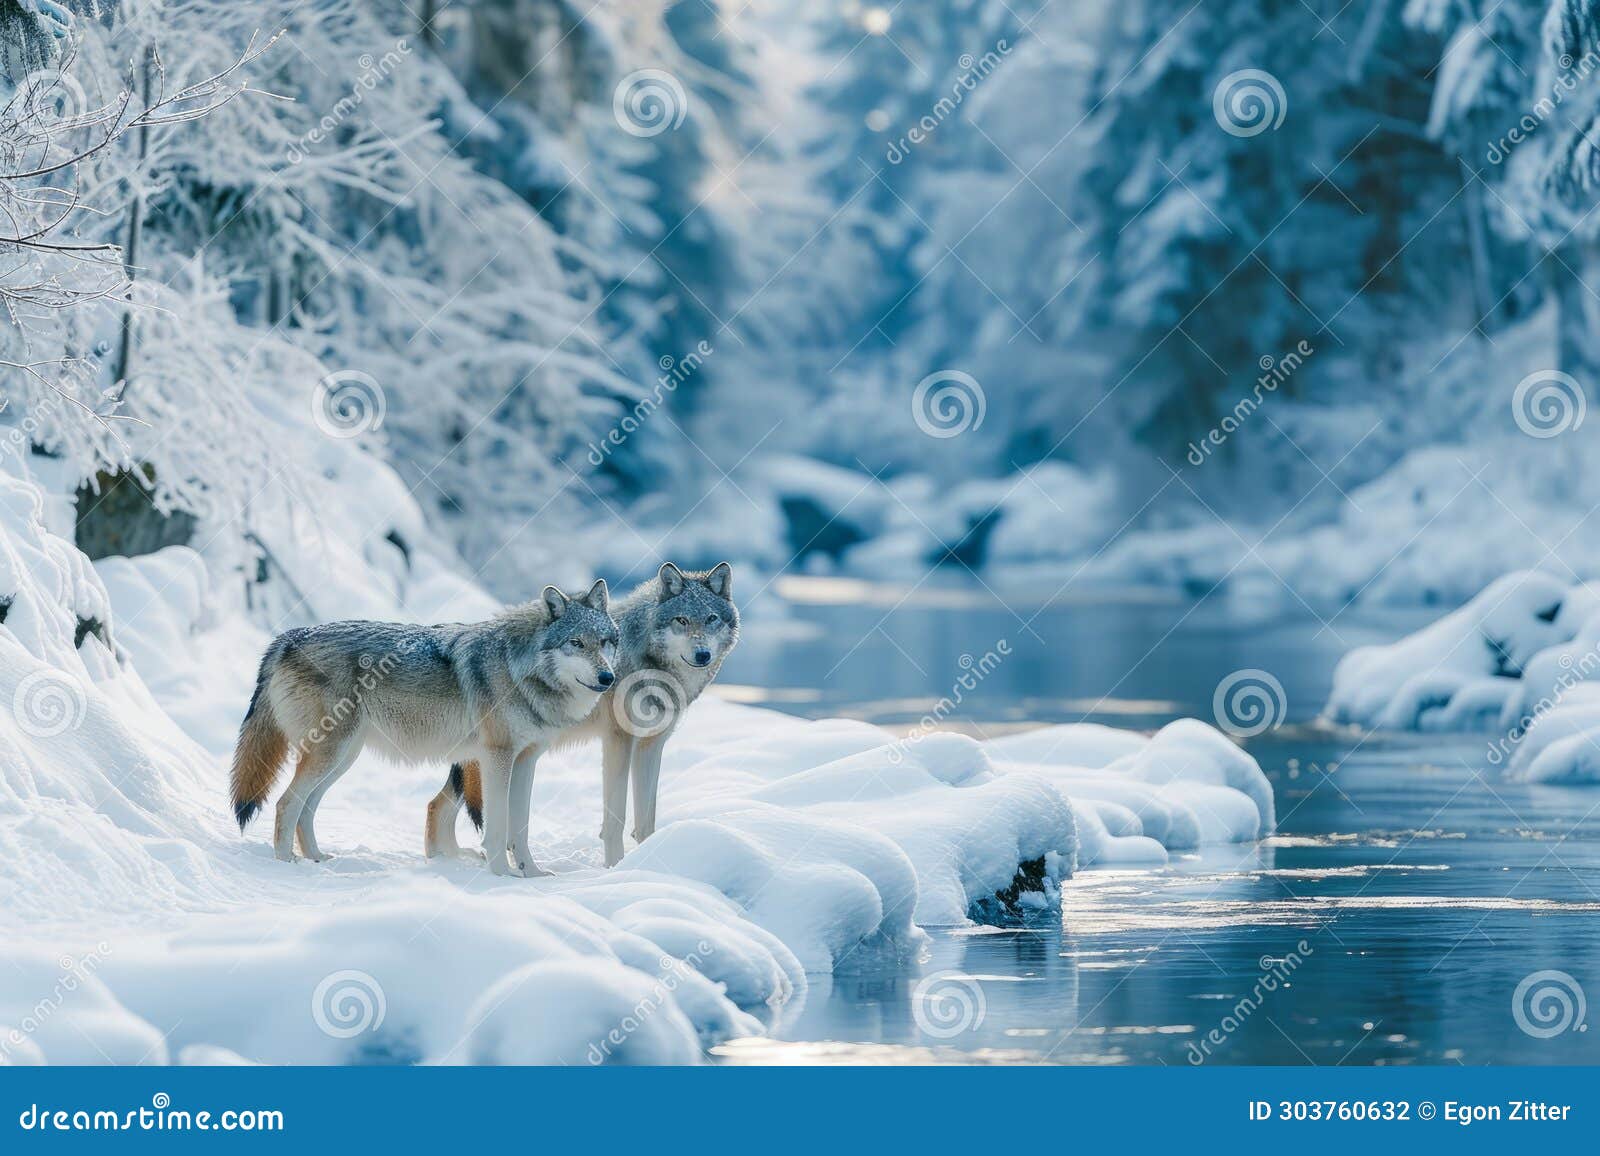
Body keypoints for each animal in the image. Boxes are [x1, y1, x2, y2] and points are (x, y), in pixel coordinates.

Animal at [230, 581, 618, 876]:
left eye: (604, 642)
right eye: (576, 643)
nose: (607, 677)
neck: (520, 669)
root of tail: (289, 636)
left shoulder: (526, 761)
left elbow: (519, 829)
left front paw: (532, 875)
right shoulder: (497, 759)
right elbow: (497, 828)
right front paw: (502, 878)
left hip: (342, 759)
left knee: (305, 809)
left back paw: (316, 860)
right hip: (331, 754)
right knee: (285, 804)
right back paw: (288, 865)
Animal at [426, 562, 738, 867]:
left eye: (711, 619)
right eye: (681, 621)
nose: (702, 654)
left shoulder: (652, 745)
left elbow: (646, 820)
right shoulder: (618, 740)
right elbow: (616, 819)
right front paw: (615, 867)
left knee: (436, 806)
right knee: (440, 806)